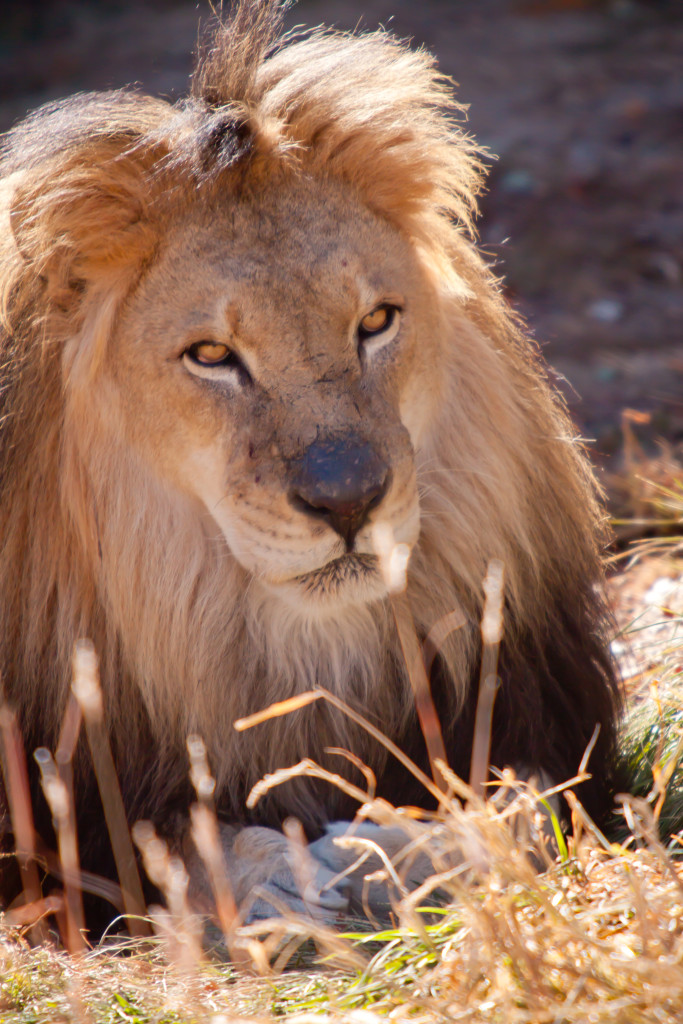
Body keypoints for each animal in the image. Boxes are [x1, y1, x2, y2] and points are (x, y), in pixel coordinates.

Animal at [0, 0, 621, 931]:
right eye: (211, 355)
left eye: (375, 322)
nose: (348, 502)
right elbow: (169, 848)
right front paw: (286, 877)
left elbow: (530, 805)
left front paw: (408, 852)